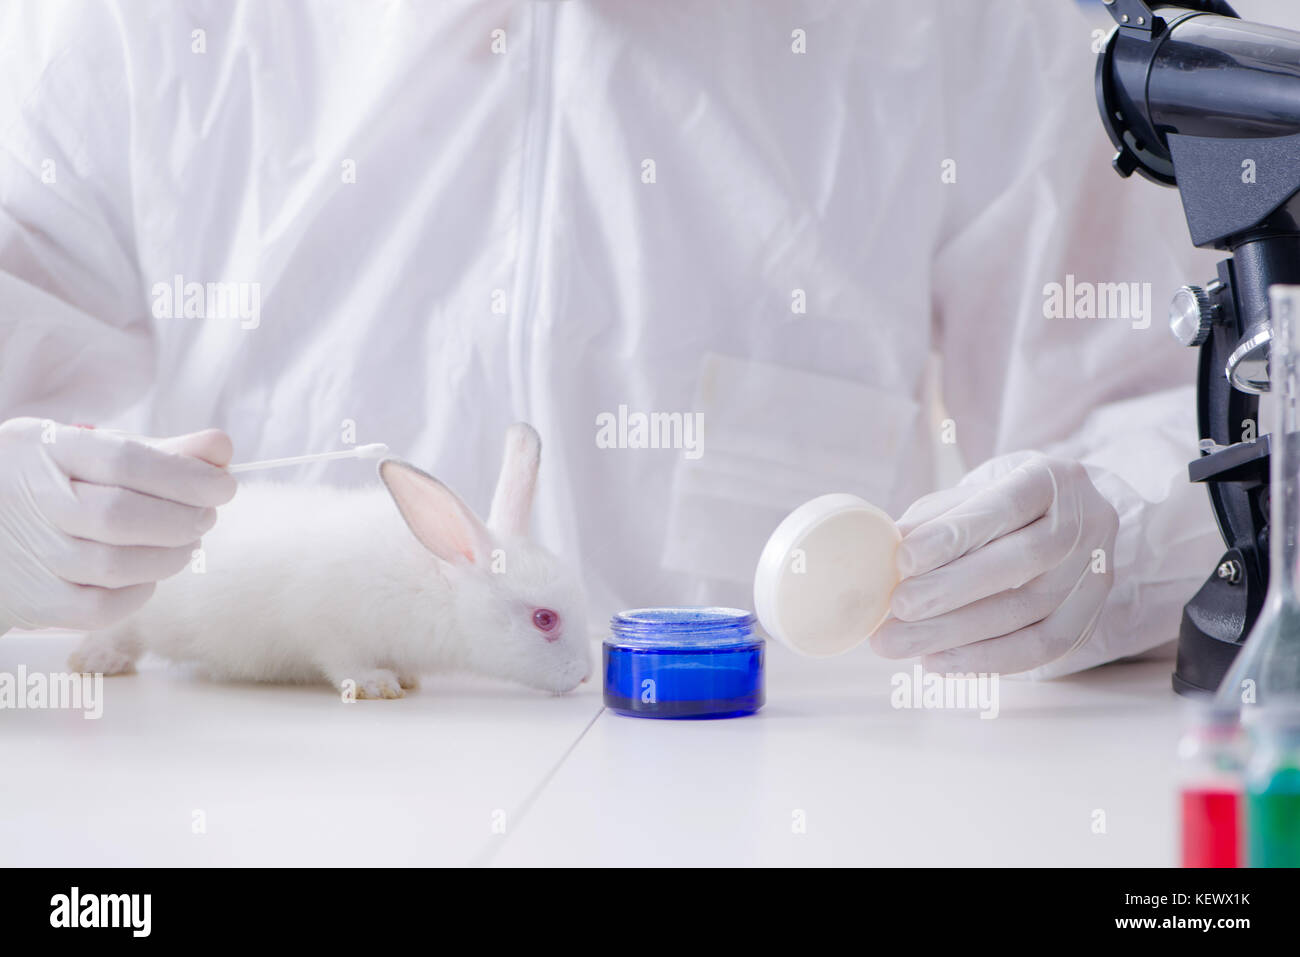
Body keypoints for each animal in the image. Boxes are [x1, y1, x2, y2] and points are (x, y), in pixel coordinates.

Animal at [68, 423, 593, 698]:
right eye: (545, 619)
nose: (587, 674)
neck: (438, 588)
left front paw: (406, 678)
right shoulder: (330, 627)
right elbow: (343, 661)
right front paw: (378, 686)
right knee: (122, 631)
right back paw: (96, 660)